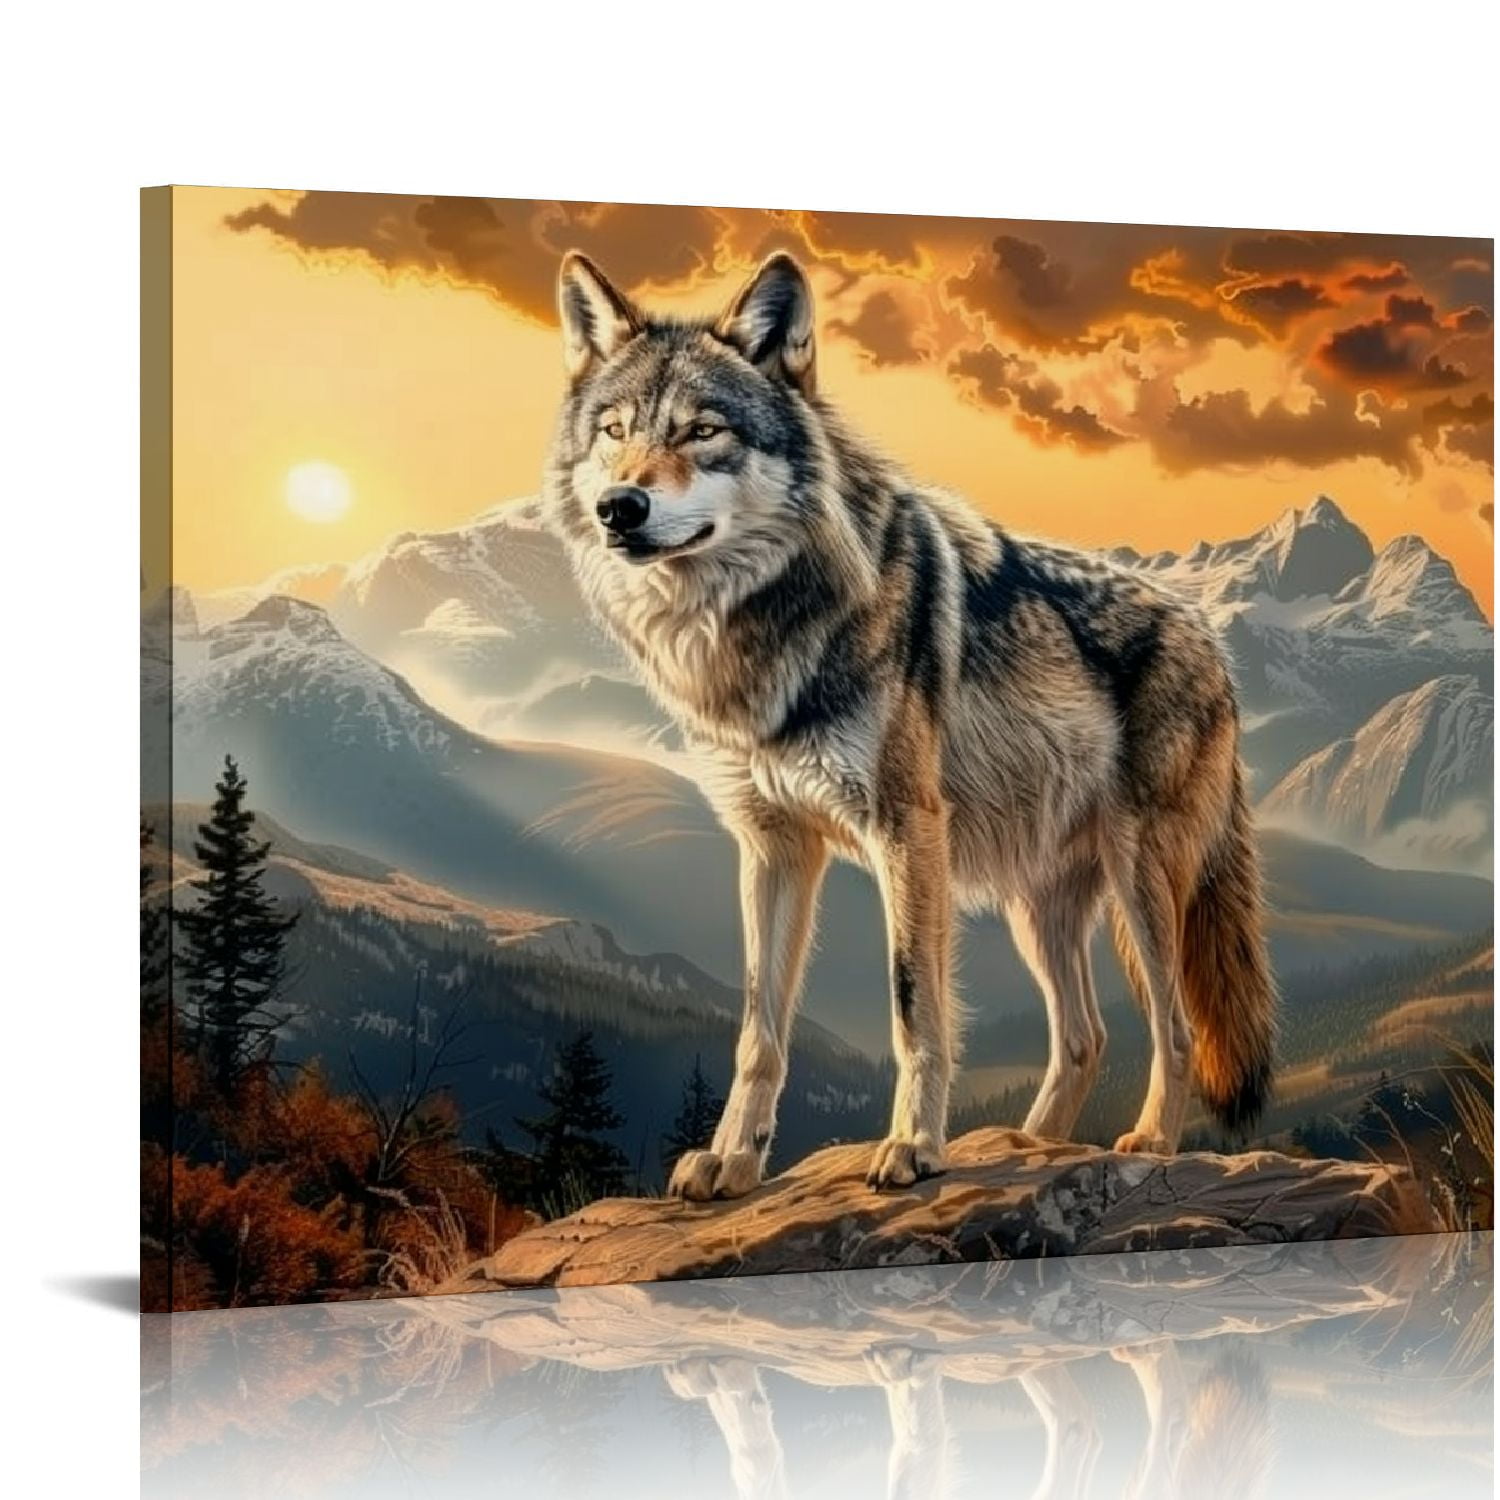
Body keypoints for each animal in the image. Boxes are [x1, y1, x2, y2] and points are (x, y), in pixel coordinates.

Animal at [542, 249, 1276, 1198]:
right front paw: (734, 1160)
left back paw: (1146, 1142)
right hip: (1038, 908)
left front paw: (915, 1147)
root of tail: (1212, 642)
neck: (757, 631)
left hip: (1140, 885)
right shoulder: (773, 846)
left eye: (704, 431)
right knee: (1085, 1036)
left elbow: (912, 1004)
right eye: (614, 430)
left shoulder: (908, 832)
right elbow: (759, 1028)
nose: (619, 508)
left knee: (1174, 1029)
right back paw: (1027, 1146)